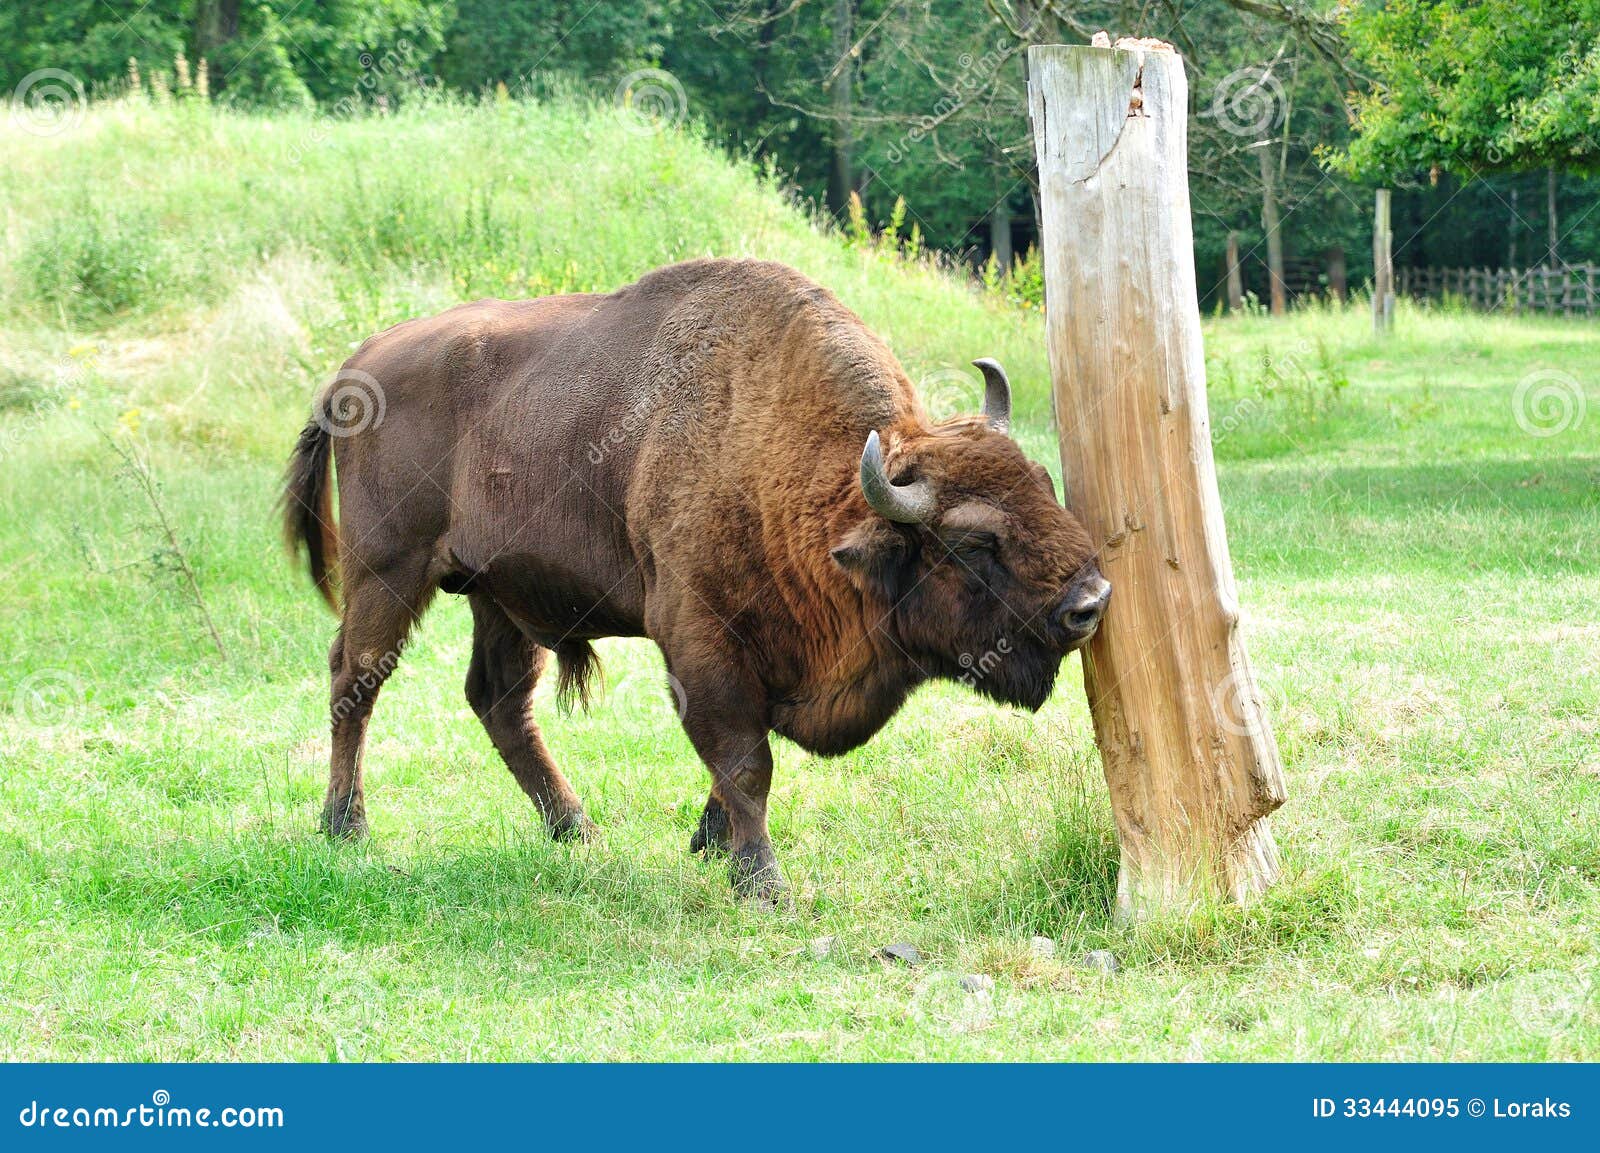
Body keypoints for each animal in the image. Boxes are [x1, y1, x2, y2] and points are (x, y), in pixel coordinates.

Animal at [283, 258, 1109, 901]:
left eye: (1044, 481)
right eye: (971, 542)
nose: (1090, 603)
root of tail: (357, 367)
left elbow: (744, 756)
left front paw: (710, 844)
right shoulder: (701, 641)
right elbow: (747, 759)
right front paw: (762, 881)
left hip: (498, 596)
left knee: (500, 700)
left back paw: (575, 828)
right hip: (389, 573)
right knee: (355, 678)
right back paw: (345, 824)